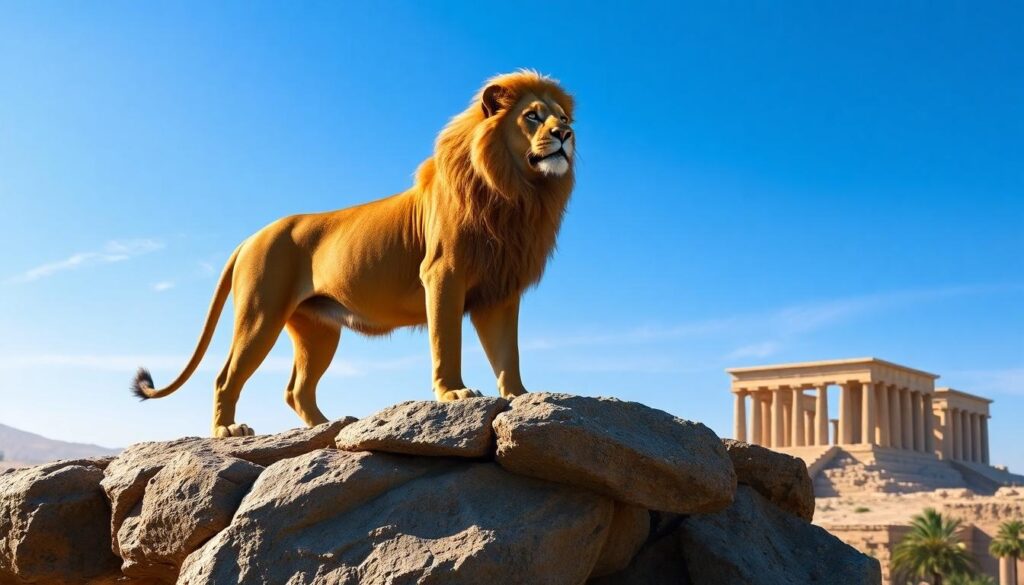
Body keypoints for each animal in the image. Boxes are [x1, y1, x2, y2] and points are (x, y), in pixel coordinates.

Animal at [132, 70, 576, 437]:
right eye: (532, 117)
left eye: (564, 118)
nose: (566, 135)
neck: (519, 193)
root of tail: (252, 236)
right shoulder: (442, 274)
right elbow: (446, 341)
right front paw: (455, 393)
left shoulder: (499, 290)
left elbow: (507, 352)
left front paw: (520, 395)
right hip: (260, 313)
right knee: (226, 377)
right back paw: (228, 431)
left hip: (318, 330)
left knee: (296, 390)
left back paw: (329, 425)